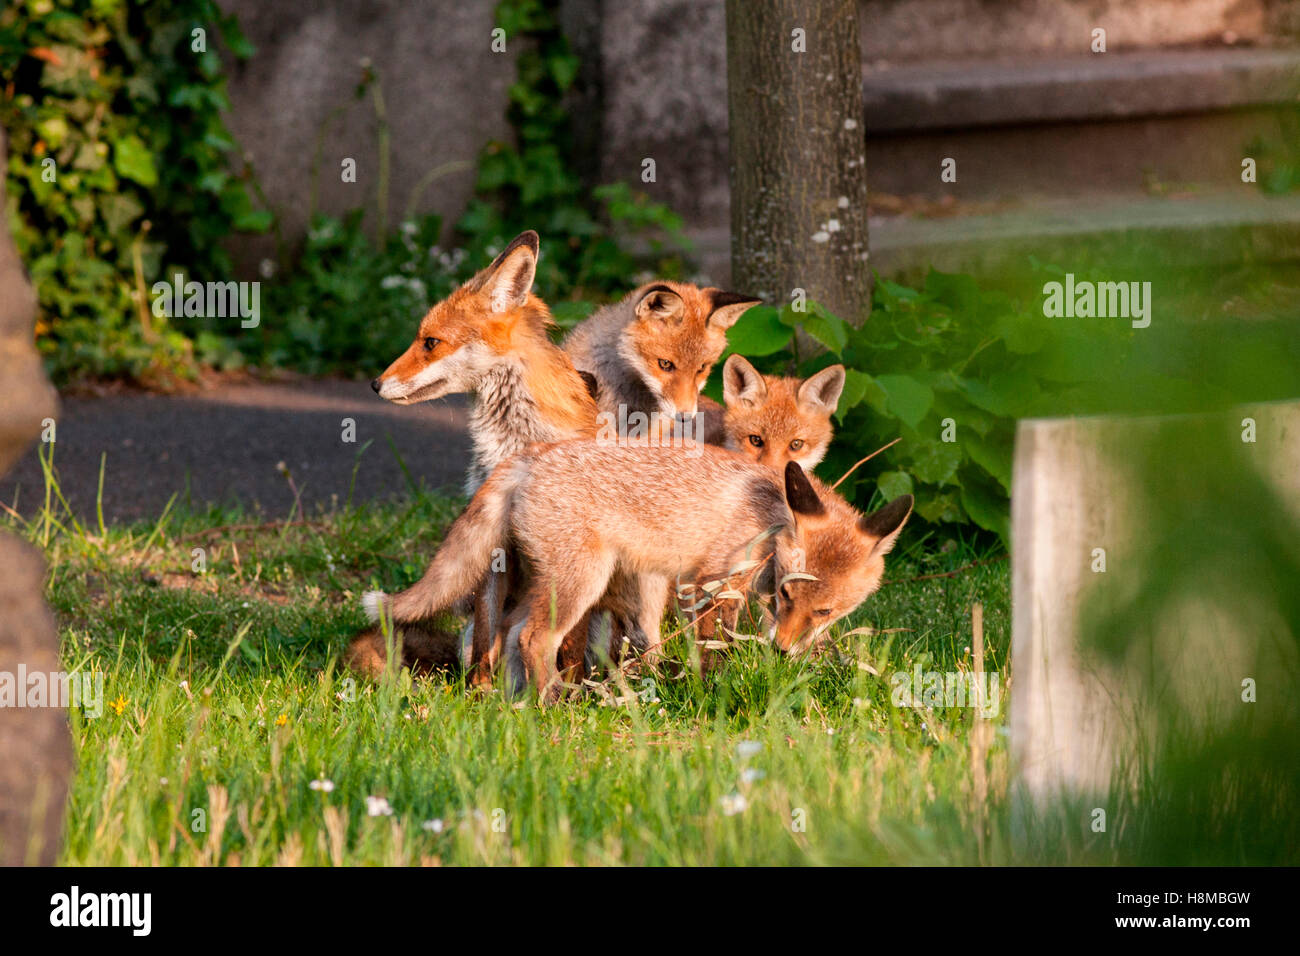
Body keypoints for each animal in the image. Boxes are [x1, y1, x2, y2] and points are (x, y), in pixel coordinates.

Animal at [348, 230, 599, 681]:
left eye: (431, 343)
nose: (375, 384)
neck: (515, 445)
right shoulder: (491, 534)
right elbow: (486, 634)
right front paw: (479, 692)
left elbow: (571, 643)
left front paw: (573, 688)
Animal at [362, 441, 913, 702]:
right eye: (785, 595)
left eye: (824, 611)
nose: (781, 653)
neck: (769, 518)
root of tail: (528, 458)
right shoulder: (705, 584)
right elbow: (713, 653)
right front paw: (714, 692)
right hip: (584, 581)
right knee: (533, 637)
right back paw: (554, 702)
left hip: (554, 582)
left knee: (512, 631)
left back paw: (519, 700)